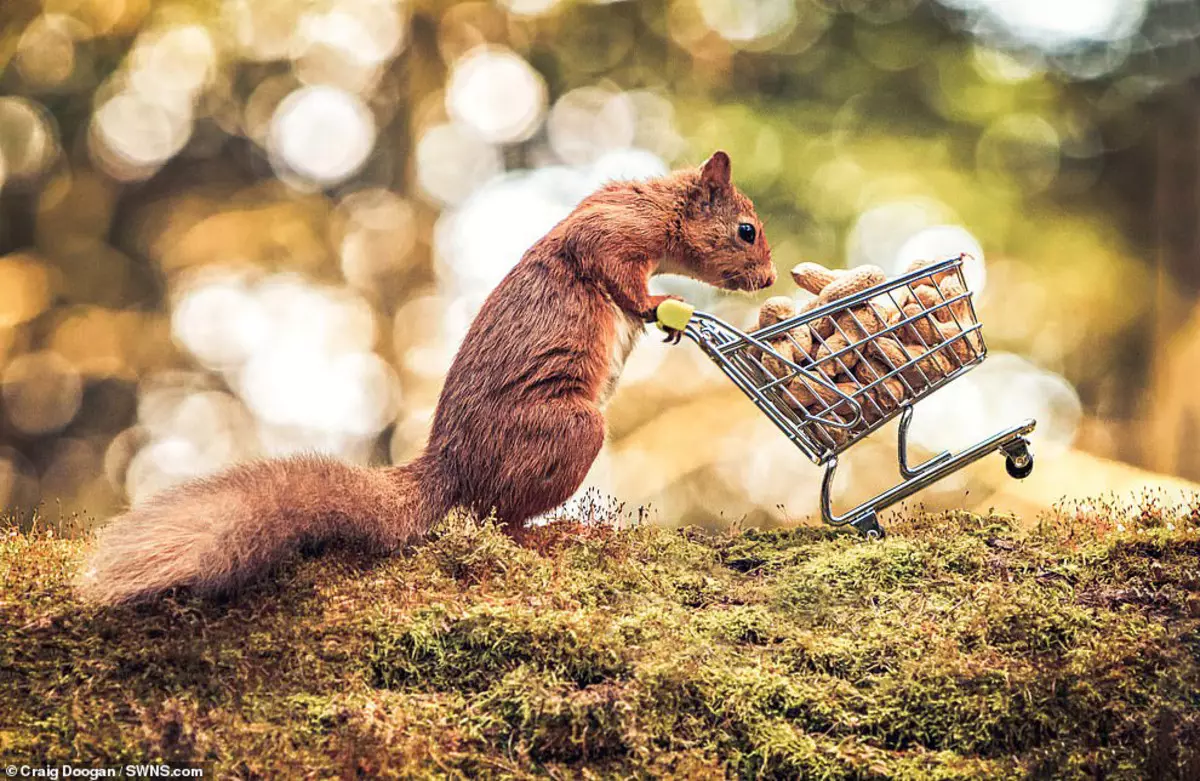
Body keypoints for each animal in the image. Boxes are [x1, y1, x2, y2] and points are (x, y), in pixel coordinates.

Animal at [75, 151, 772, 604]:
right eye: (746, 230)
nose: (767, 278)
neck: (659, 207)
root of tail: (451, 464)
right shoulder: (610, 232)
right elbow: (612, 272)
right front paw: (663, 308)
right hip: (569, 429)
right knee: (497, 517)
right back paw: (553, 535)